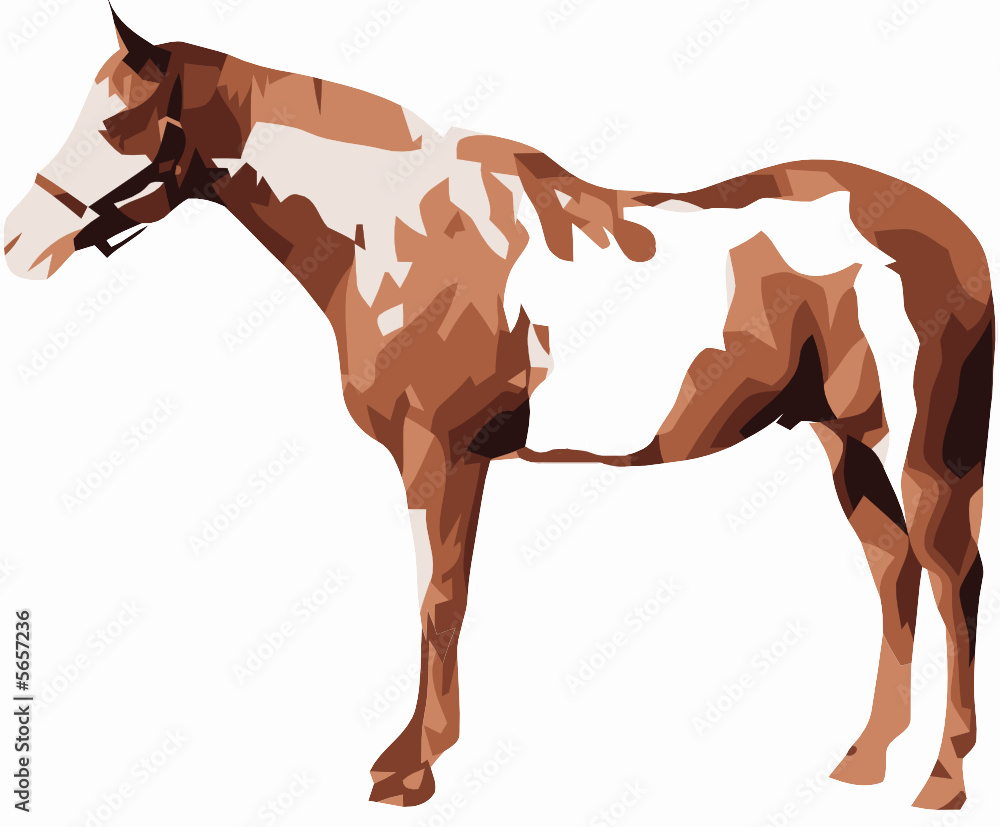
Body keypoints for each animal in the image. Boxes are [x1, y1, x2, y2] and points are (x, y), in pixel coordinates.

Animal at [4, 8, 993, 811]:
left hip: (915, 448)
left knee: (952, 576)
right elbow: (439, 595)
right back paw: (865, 760)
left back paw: (941, 780)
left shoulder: (442, 454)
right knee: (891, 569)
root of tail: (950, 231)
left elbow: (439, 597)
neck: (395, 232)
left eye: (115, 122)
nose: (18, 243)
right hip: (846, 442)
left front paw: (412, 768)